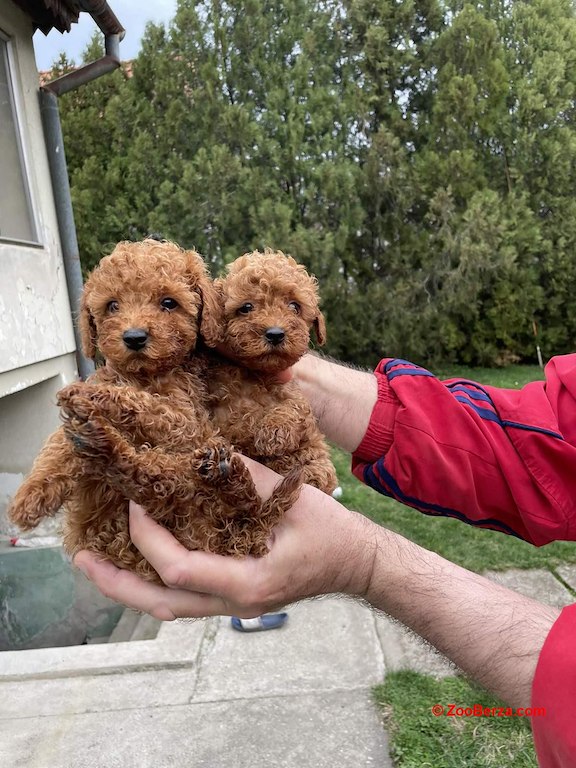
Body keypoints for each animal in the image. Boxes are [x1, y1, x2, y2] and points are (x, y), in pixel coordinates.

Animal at [10, 242, 302, 584]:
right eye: (112, 305)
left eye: (168, 303)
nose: (134, 337)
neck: (145, 375)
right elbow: (57, 445)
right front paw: (30, 496)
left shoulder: (187, 422)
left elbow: (147, 406)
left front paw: (97, 395)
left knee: (161, 481)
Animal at [202, 249, 338, 496]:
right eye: (246, 307)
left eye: (295, 306)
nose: (275, 334)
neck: (255, 374)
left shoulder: (292, 393)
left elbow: (293, 408)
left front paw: (272, 434)